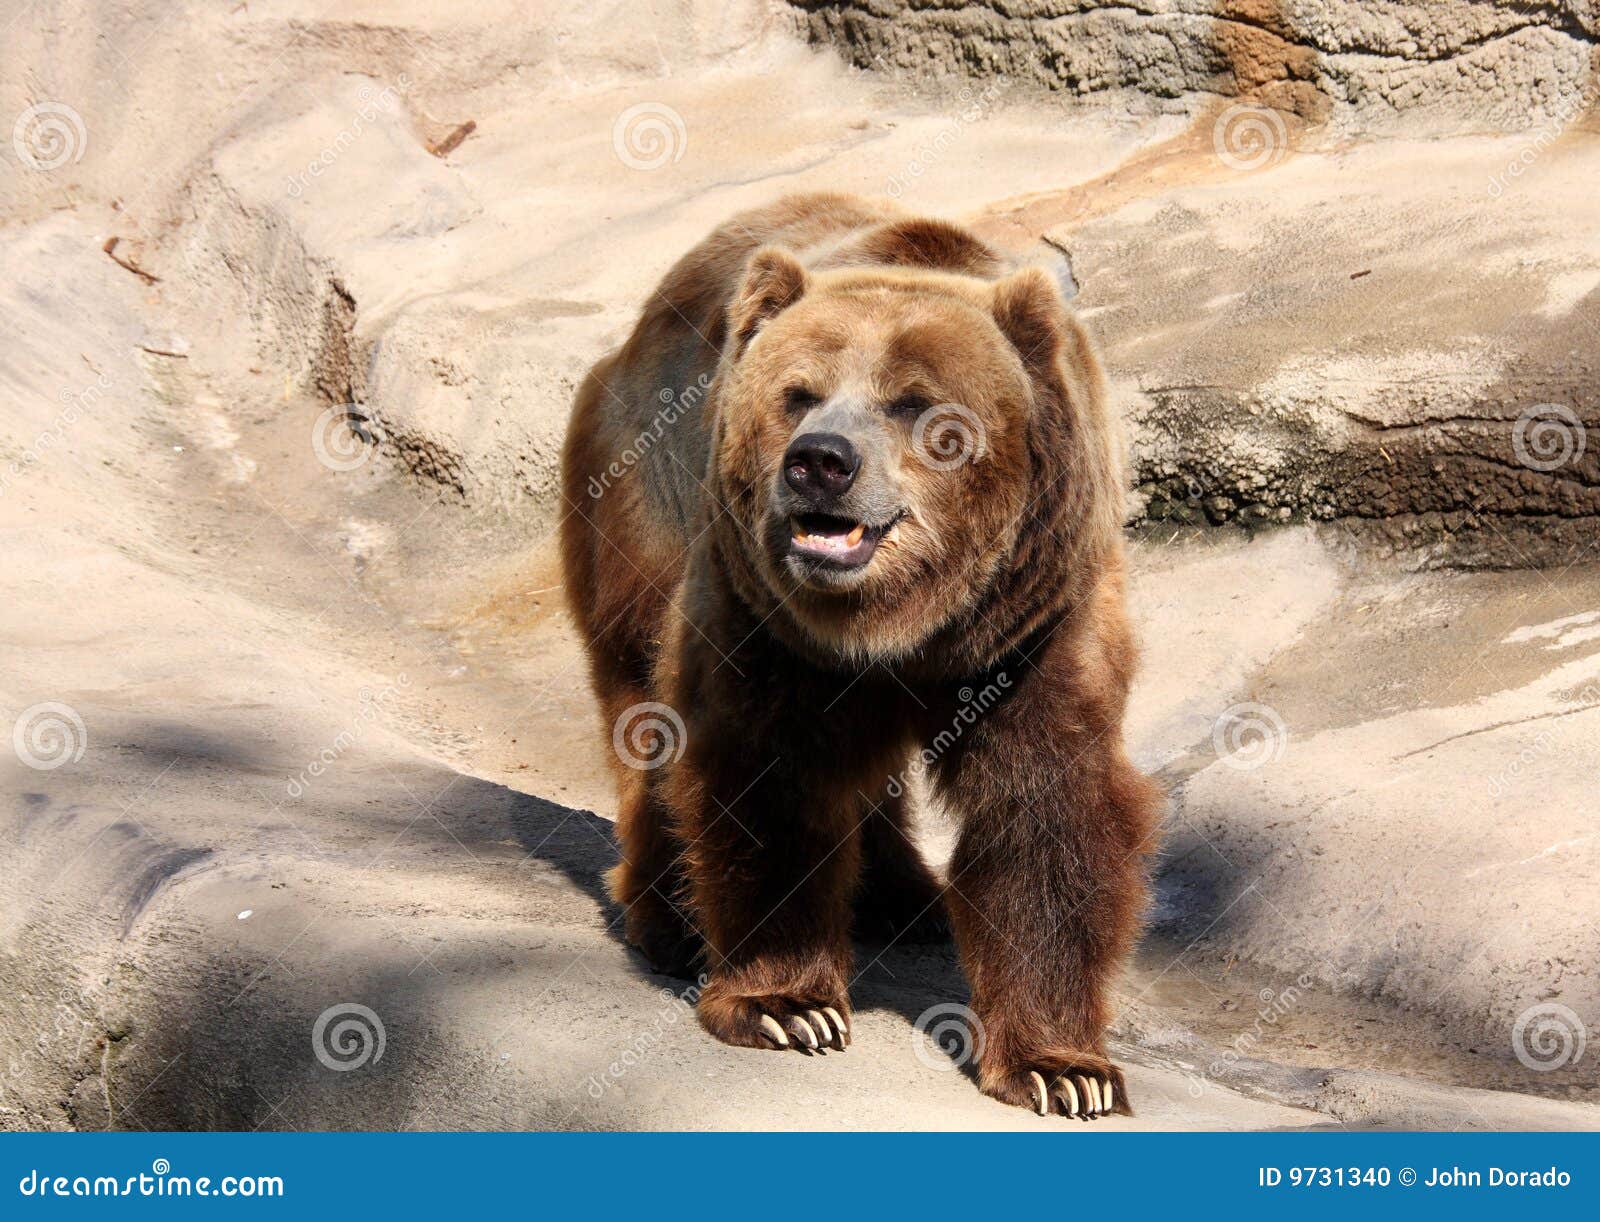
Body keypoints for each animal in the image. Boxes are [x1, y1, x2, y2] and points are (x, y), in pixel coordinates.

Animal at [559, 193, 1160, 1118]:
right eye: (798, 393)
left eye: (914, 404)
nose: (820, 461)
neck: (907, 623)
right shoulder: (763, 617)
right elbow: (765, 776)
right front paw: (785, 1004)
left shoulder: (1038, 619)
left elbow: (1046, 804)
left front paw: (1063, 1068)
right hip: (642, 500)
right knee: (642, 706)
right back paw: (670, 920)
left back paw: (902, 897)